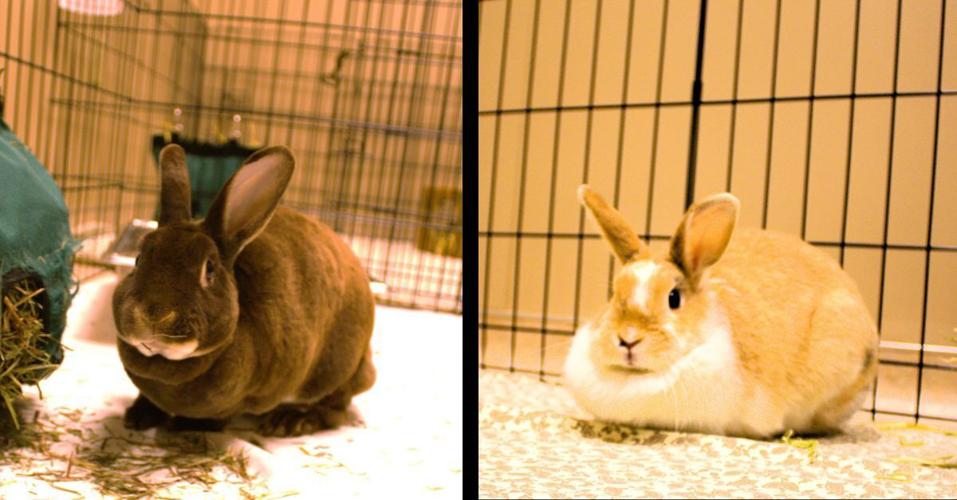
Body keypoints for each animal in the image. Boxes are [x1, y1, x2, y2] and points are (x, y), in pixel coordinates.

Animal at [112, 144, 376, 437]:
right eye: (138, 260)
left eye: (209, 270)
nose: (153, 316)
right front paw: (137, 417)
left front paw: (189, 426)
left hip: (335, 372)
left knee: (335, 409)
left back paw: (292, 421)